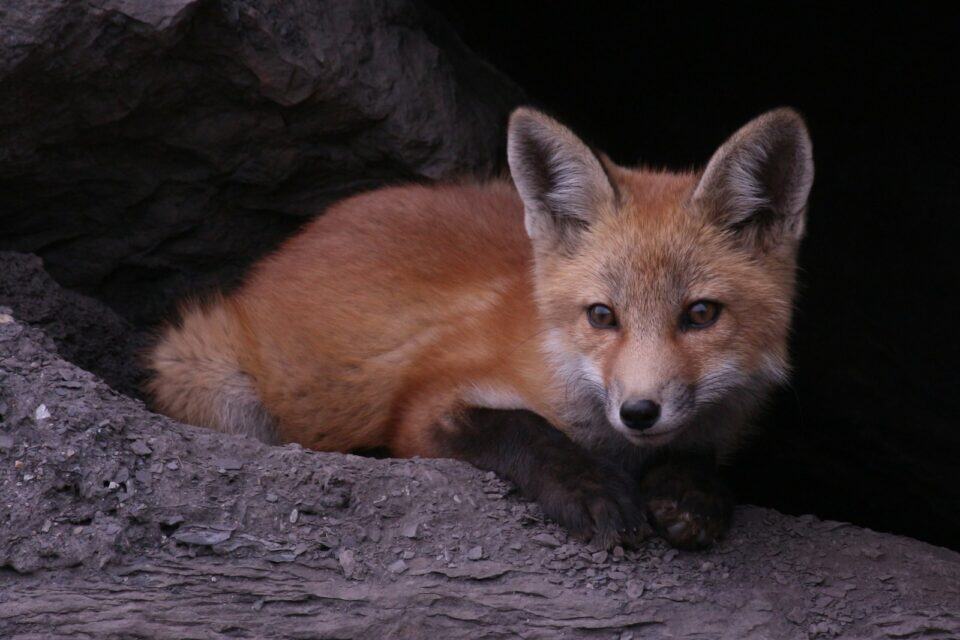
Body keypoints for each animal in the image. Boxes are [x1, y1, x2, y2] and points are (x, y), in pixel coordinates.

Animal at [147, 107, 813, 550]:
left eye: (700, 314)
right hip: (205, 374)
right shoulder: (424, 405)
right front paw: (589, 490)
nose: (640, 412)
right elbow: (522, 429)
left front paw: (691, 495)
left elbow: (697, 455)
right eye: (602, 316)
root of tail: (296, 243)